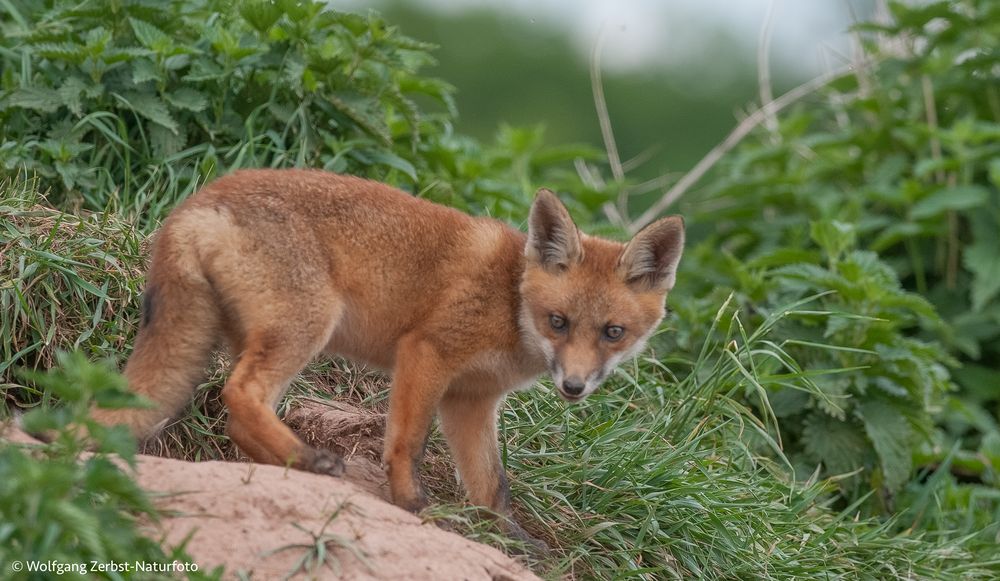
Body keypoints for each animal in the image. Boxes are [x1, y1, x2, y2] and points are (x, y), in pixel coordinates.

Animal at [93, 168, 684, 545]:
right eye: (557, 322)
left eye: (613, 332)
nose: (574, 387)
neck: (508, 299)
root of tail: (196, 202)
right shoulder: (425, 354)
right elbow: (408, 444)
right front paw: (412, 504)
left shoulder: (471, 400)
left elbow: (491, 482)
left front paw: (509, 537)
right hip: (306, 328)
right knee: (238, 394)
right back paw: (308, 460)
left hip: (253, 337)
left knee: (233, 416)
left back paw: (289, 463)